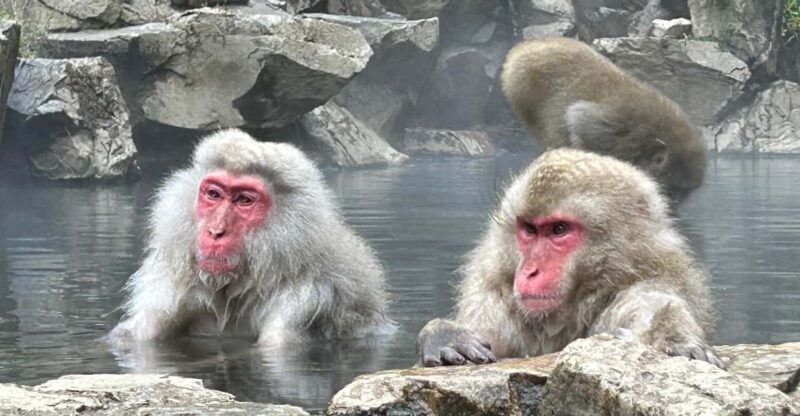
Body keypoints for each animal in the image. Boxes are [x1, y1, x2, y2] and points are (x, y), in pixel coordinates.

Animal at [417, 148, 724, 368]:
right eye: (530, 230)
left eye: (559, 230)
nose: (529, 271)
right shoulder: (494, 294)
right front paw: (444, 335)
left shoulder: (652, 279)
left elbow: (657, 306)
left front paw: (671, 338)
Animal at [500, 37, 707, 204]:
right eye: (676, 189)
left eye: (685, 192)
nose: (676, 204)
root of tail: (525, 46)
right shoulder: (614, 130)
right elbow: (577, 118)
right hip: (521, 88)